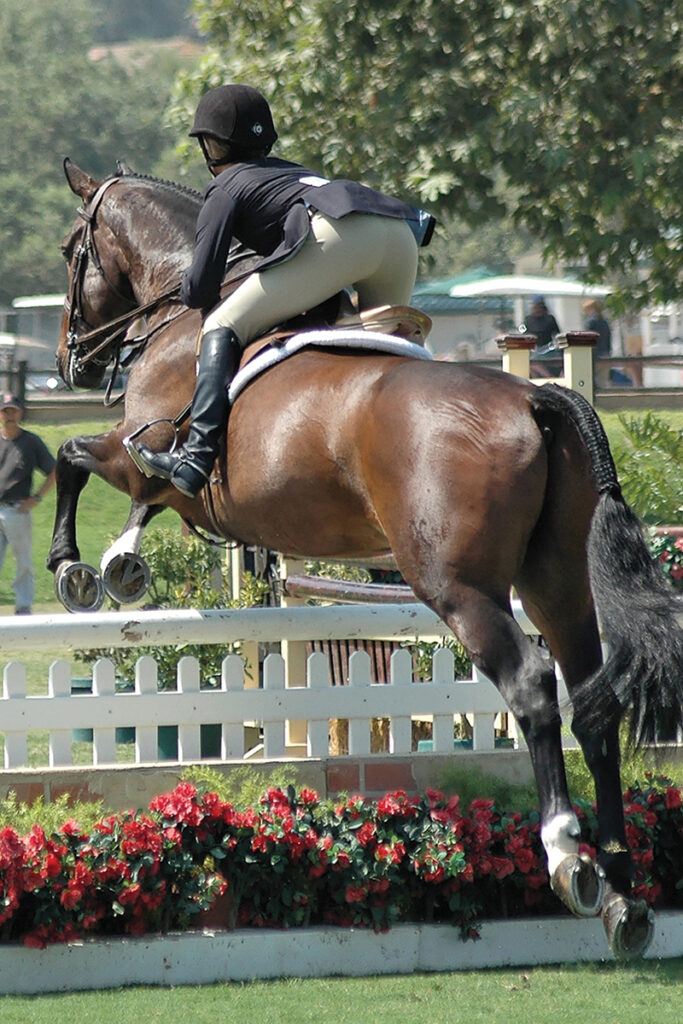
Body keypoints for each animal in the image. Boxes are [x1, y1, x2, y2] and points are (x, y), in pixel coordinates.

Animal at [48, 158, 683, 959]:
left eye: (72, 251)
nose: (69, 360)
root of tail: (536, 399)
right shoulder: (165, 485)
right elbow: (125, 499)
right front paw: (121, 565)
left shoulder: (144, 456)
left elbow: (73, 459)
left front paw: (74, 569)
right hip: (556, 581)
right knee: (592, 697)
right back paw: (624, 891)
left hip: (458, 586)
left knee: (533, 686)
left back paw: (567, 857)